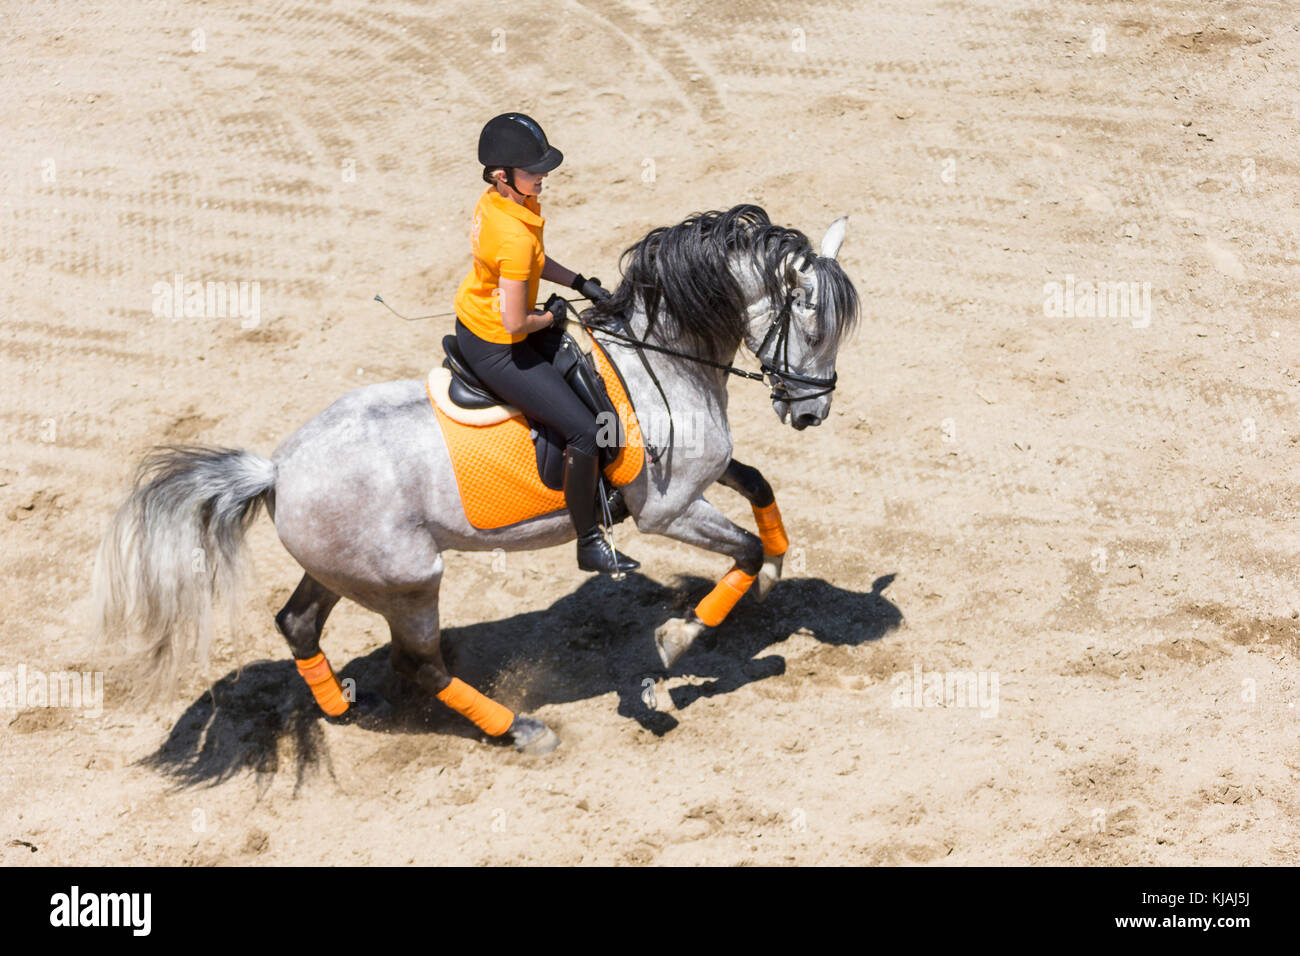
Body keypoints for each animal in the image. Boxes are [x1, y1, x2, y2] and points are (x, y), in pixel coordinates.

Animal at [93, 203, 861, 755]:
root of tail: (277, 469)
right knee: (419, 666)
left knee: (299, 622)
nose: (812, 412)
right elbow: (740, 551)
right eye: (816, 327)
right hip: (410, 582)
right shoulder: (667, 510)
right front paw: (671, 652)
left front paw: (775, 572)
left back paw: (343, 706)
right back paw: (520, 729)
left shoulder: (702, 477)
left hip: (347, 570)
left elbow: (760, 489)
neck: (660, 361)